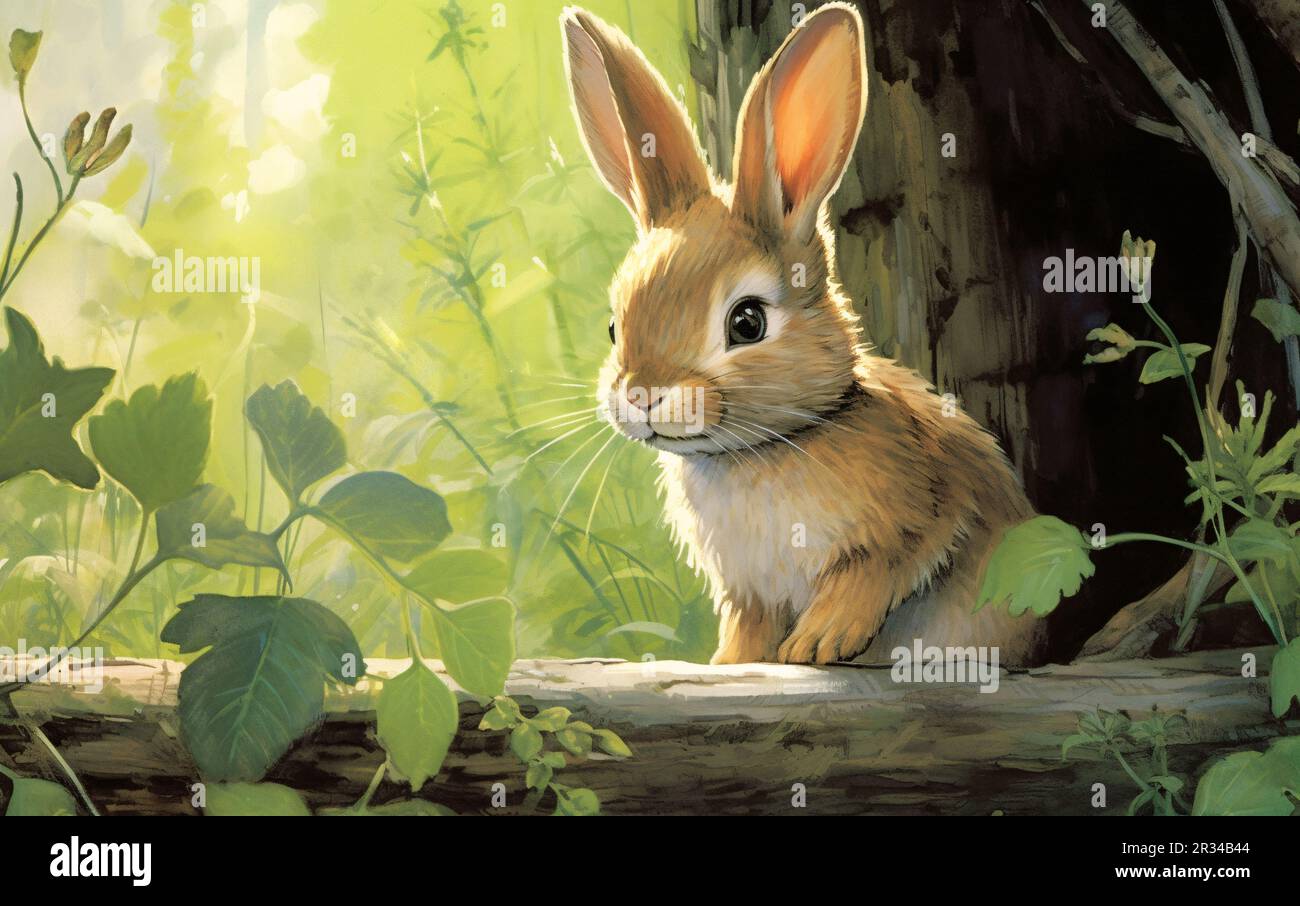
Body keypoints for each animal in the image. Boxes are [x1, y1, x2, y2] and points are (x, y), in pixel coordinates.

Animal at [560, 3, 1046, 666]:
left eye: (747, 322)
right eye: (614, 325)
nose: (640, 395)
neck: (759, 451)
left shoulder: (920, 514)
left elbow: (872, 572)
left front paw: (819, 642)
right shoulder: (747, 592)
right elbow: (749, 626)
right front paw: (731, 664)